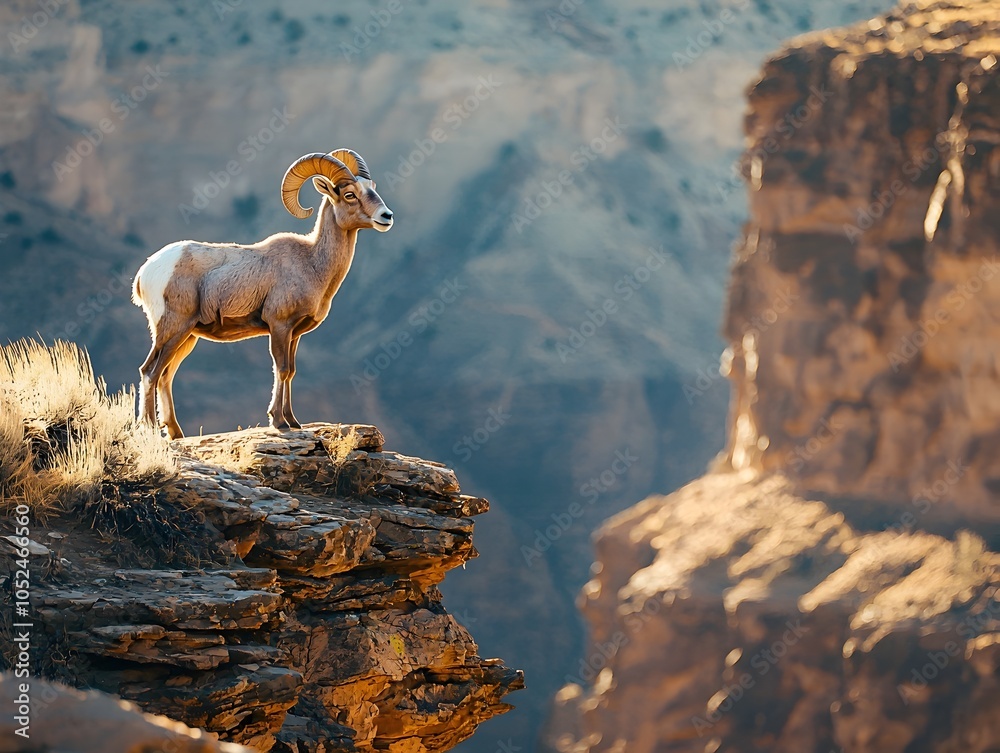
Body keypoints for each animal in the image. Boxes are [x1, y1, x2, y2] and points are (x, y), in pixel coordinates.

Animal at [132, 149, 393, 439]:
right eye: (349, 194)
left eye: (372, 188)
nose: (386, 216)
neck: (312, 264)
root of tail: (146, 272)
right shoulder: (279, 326)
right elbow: (281, 369)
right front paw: (279, 422)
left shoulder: (295, 334)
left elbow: (291, 372)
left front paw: (293, 421)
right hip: (172, 329)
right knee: (150, 372)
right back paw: (150, 430)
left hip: (188, 336)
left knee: (166, 375)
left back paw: (176, 433)